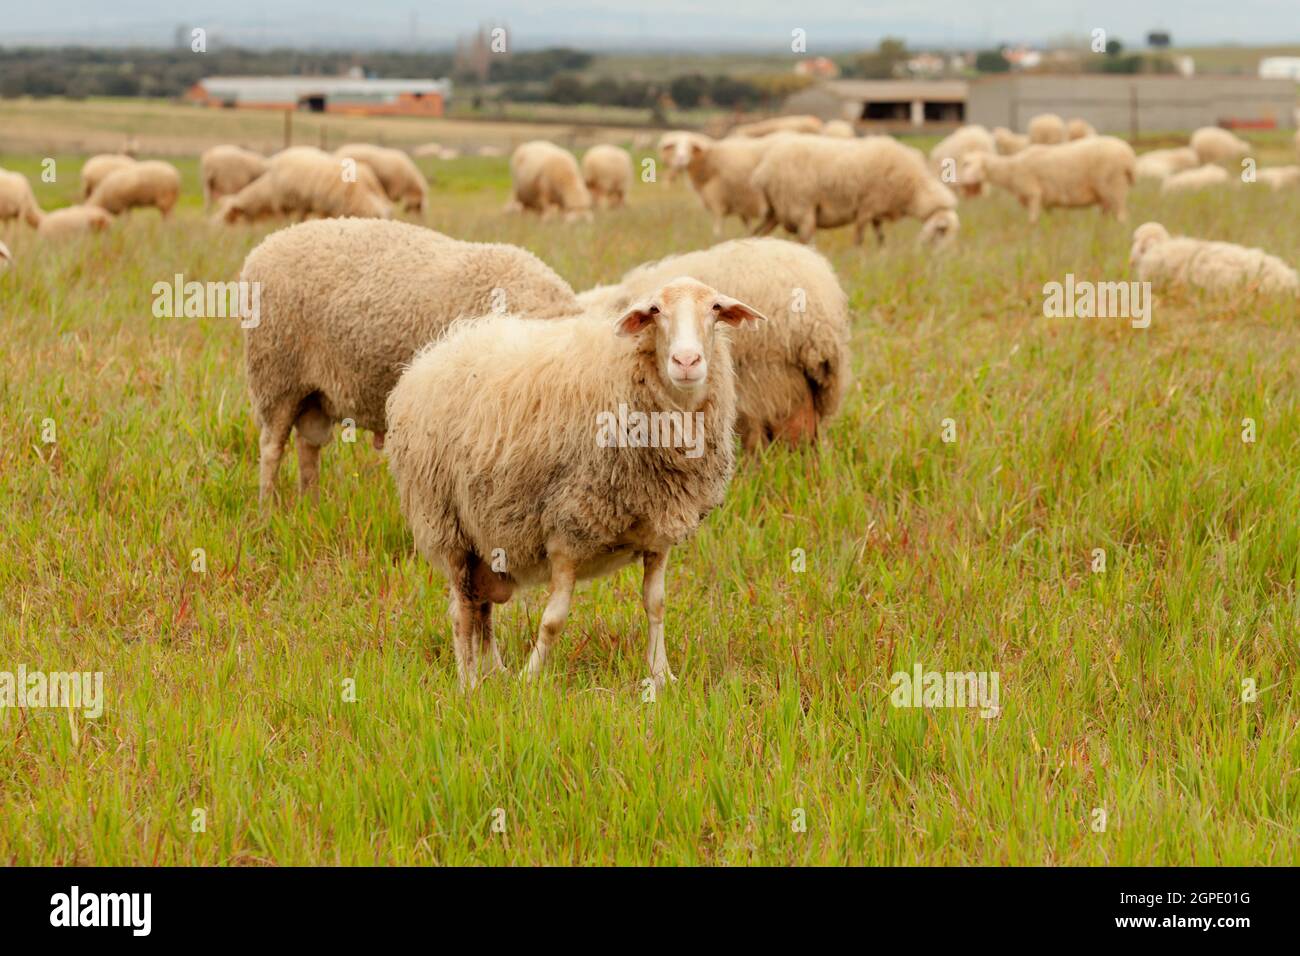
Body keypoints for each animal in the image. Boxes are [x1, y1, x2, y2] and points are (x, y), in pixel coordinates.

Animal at [239, 217, 580, 504]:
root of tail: (267, 243)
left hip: (313, 392)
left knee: (307, 446)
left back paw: (310, 505)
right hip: (275, 375)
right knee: (271, 448)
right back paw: (267, 509)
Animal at [385, 277, 765, 689]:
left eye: (715, 308)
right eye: (654, 311)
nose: (687, 362)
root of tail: (438, 349)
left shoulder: (658, 533)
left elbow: (656, 605)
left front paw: (661, 675)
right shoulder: (568, 530)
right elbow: (554, 619)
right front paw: (530, 678)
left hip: (485, 536)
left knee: (481, 606)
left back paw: (494, 672)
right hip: (446, 524)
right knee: (461, 611)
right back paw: (469, 682)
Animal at [752, 134, 959, 248]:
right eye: (942, 231)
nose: (941, 260)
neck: (913, 189)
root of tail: (764, 170)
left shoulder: (877, 211)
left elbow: (880, 235)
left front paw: (881, 252)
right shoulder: (867, 206)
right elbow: (859, 236)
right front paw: (858, 255)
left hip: (774, 211)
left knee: (758, 232)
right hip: (800, 206)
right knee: (805, 238)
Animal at [960, 136, 1136, 223]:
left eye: (968, 163)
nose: (962, 182)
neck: (1012, 168)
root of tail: (1129, 156)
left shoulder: (1033, 193)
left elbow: (1032, 220)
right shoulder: (1045, 201)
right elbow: (1046, 218)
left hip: (1114, 186)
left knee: (1122, 215)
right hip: (1108, 191)